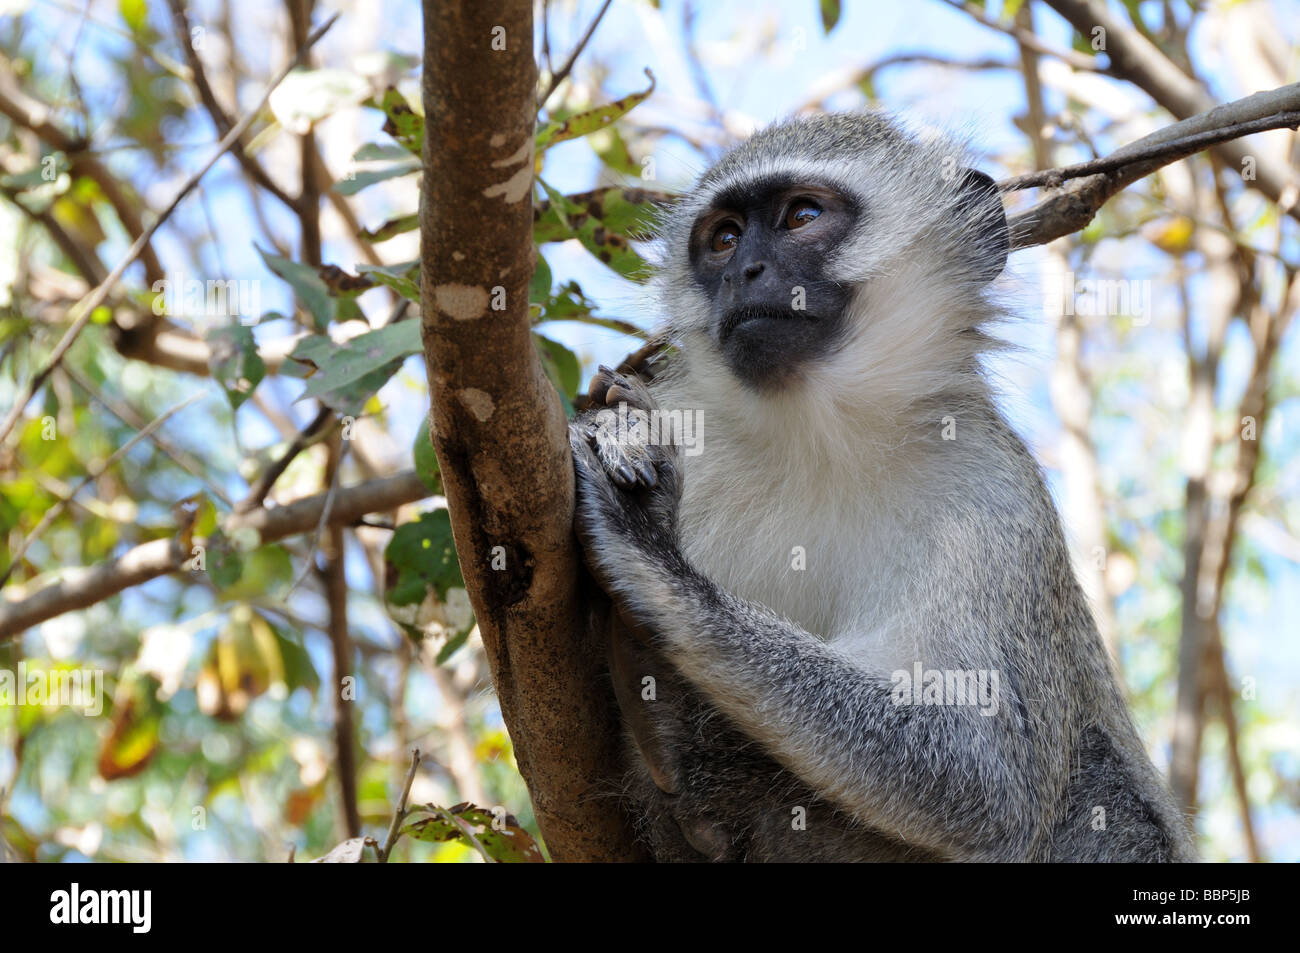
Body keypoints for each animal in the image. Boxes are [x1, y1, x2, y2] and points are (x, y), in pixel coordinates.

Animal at [567, 112, 1197, 863]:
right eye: (722, 239)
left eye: (802, 216)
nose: (745, 272)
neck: (814, 436)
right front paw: (615, 429)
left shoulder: (994, 494)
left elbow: (991, 775)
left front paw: (655, 560)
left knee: (1109, 802)